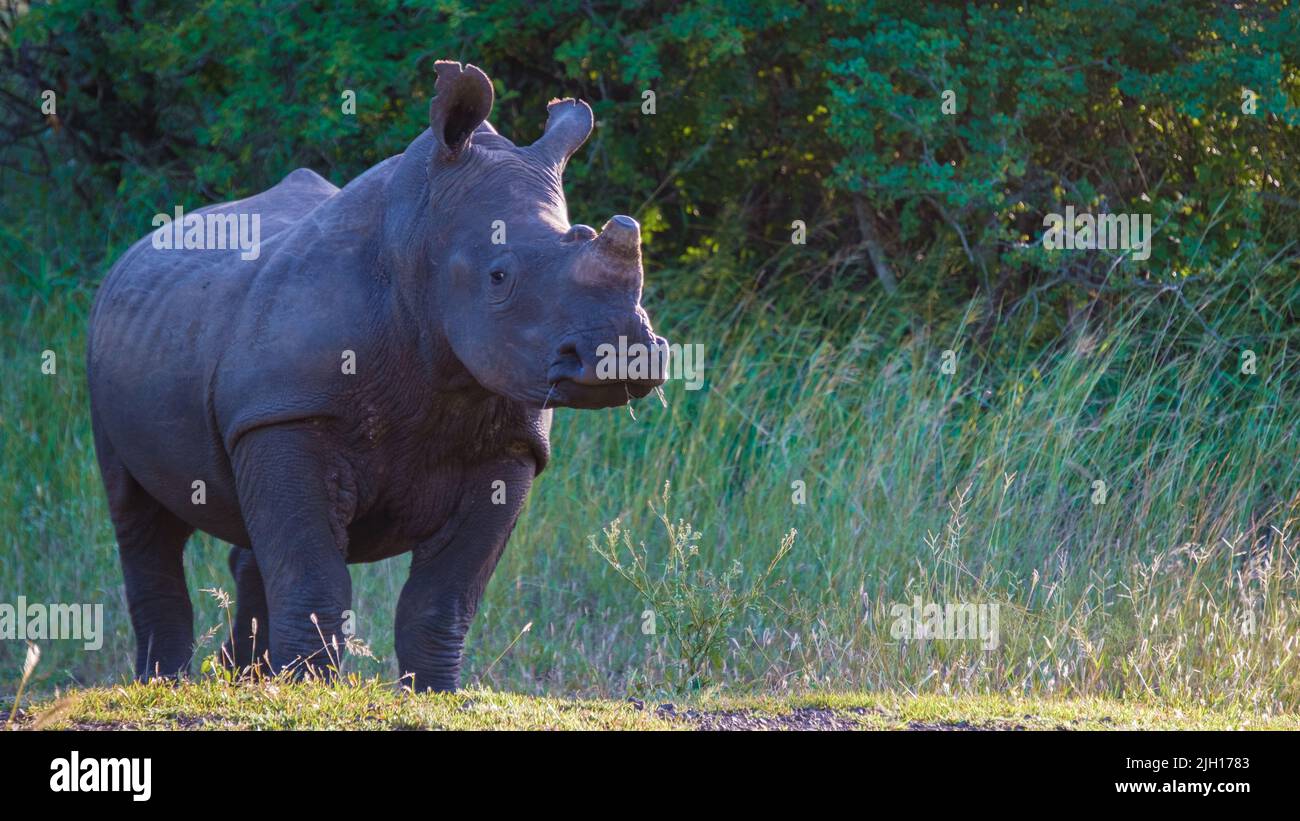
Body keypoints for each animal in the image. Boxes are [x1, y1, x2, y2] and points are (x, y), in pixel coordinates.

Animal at [87, 61, 667, 691]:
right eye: (498, 276)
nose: (621, 356)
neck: (419, 240)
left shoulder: (512, 445)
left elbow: (443, 599)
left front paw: (433, 693)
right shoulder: (288, 411)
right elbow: (314, 576)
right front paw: (309, 691)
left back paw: (243, 678)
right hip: (117, 342)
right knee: (141, 519)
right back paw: (164, 683)